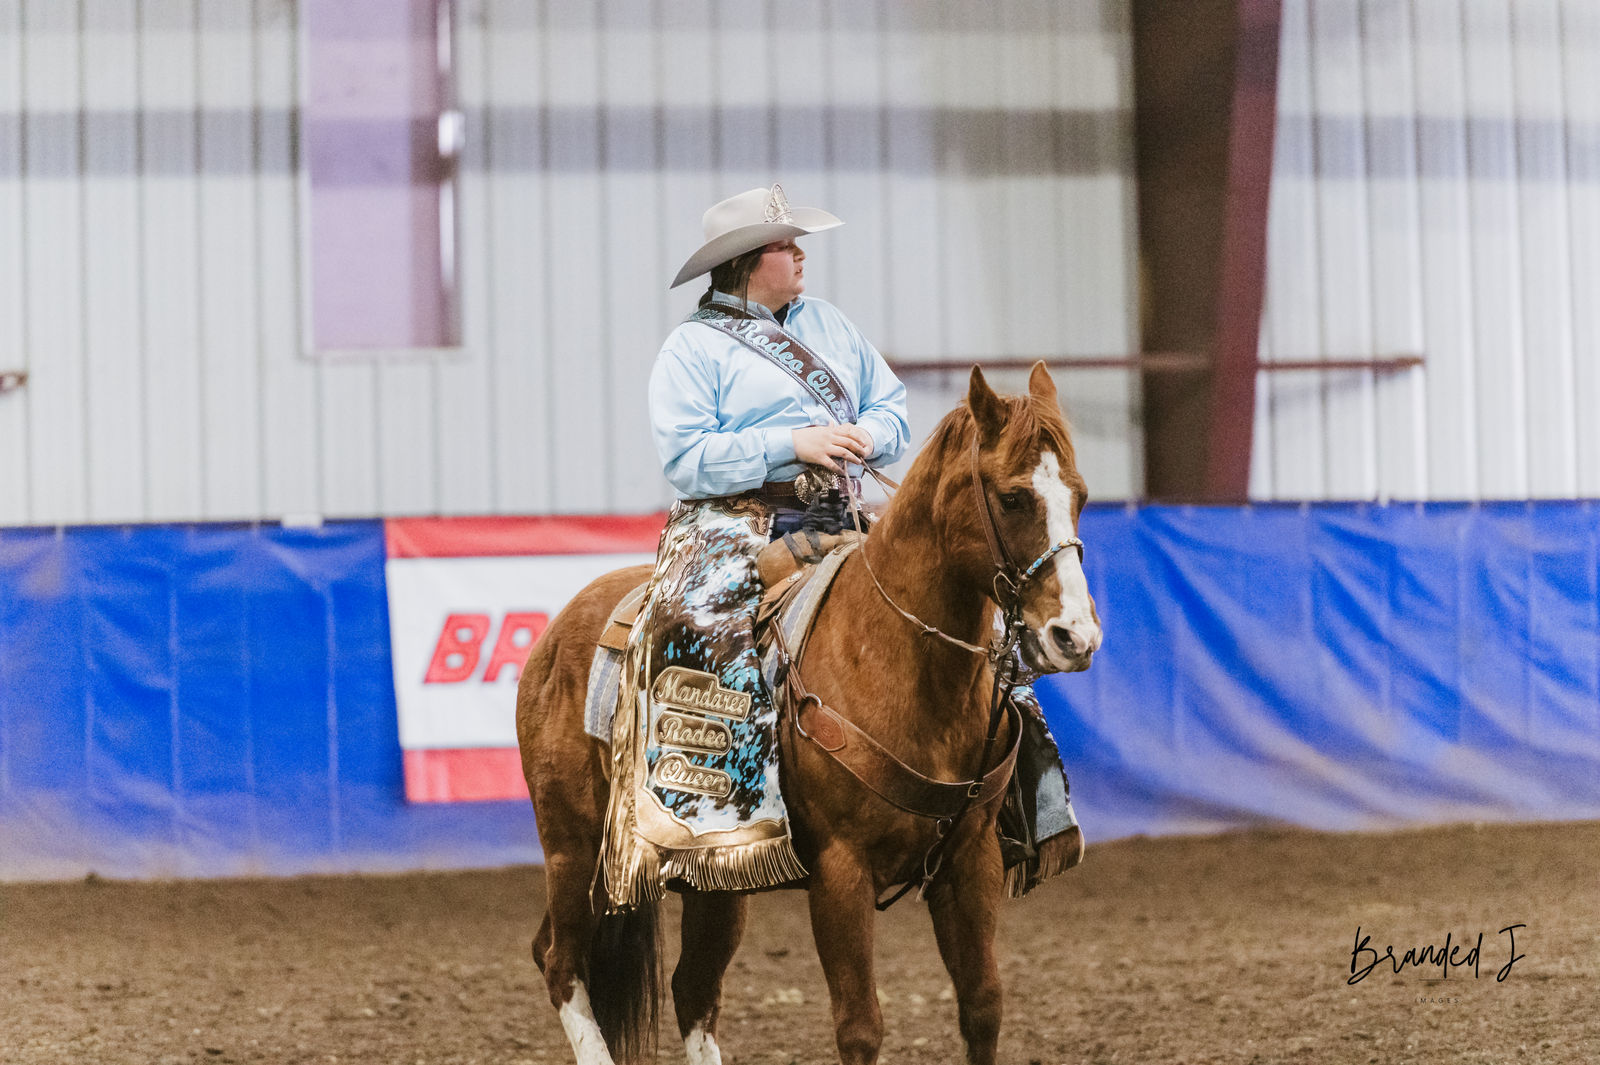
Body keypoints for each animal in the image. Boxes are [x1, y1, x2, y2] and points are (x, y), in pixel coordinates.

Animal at [515, 363, 1102, 1065]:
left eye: (1081, 495)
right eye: (1013, 498)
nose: (1074, 637)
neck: (899, 662)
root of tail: (555, 635)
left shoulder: (972, 860)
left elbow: (983, 1007)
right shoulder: (841, 872)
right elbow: (859, 1025)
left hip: (715, 874)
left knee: (691, 988)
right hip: (572, 849)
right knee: (560, 961)